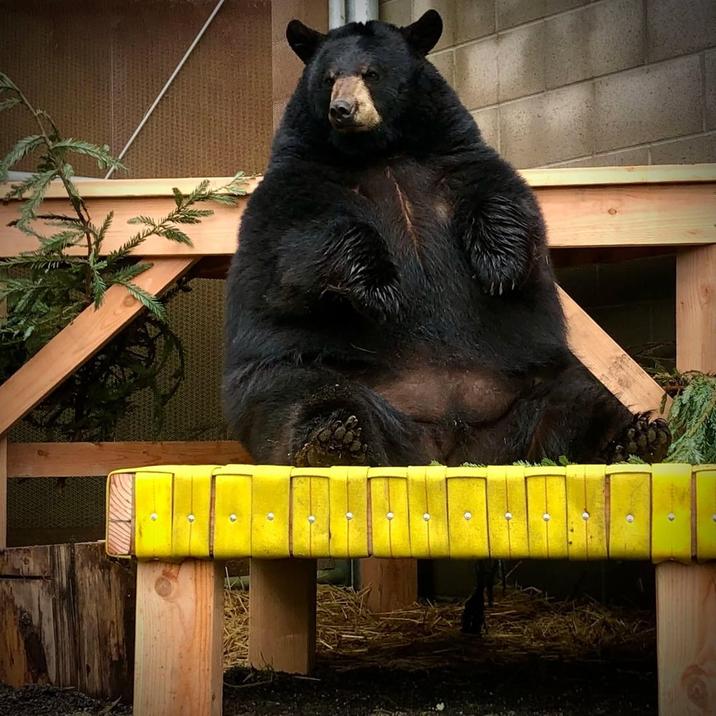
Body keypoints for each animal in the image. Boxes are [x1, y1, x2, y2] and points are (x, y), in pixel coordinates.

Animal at [223, 10, 670, 475]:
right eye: (329, 78)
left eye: (371, 73)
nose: (342, 110)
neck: (378, 152)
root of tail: (452, 448)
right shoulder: (300, 176)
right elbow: (298, 244)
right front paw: (383, 287)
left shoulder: (452, 155)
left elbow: (502, 198)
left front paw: (499, 266)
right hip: (303, 372)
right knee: (305, 397)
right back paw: (335, 442)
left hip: (536, 374)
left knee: (580, 400)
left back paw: (636, 438)